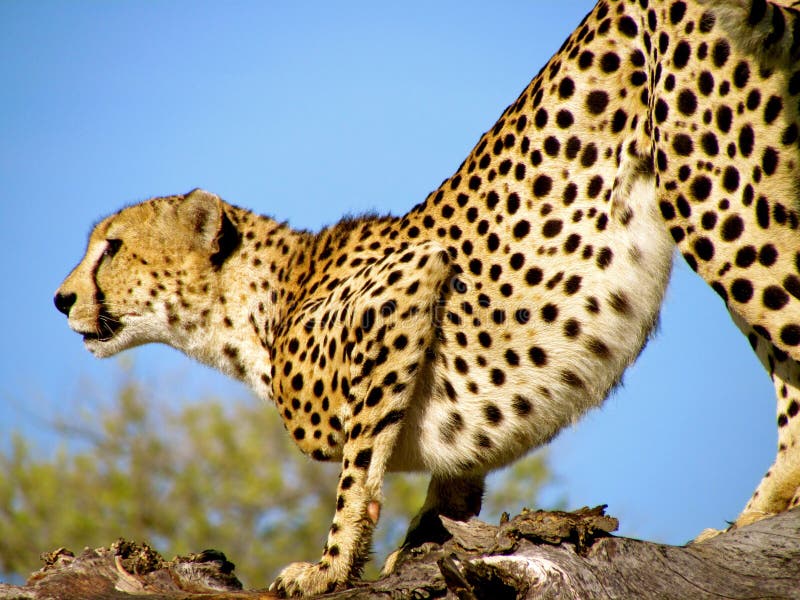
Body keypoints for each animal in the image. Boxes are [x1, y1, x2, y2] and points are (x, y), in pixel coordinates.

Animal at [54, 0, 800, 595]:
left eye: (111, 247)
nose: (60, 299)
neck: (255, 307)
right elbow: (452, 490)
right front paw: (418, 548)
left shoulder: (407, 285)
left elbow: (356, 468)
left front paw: (328, 566)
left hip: (715, 192)